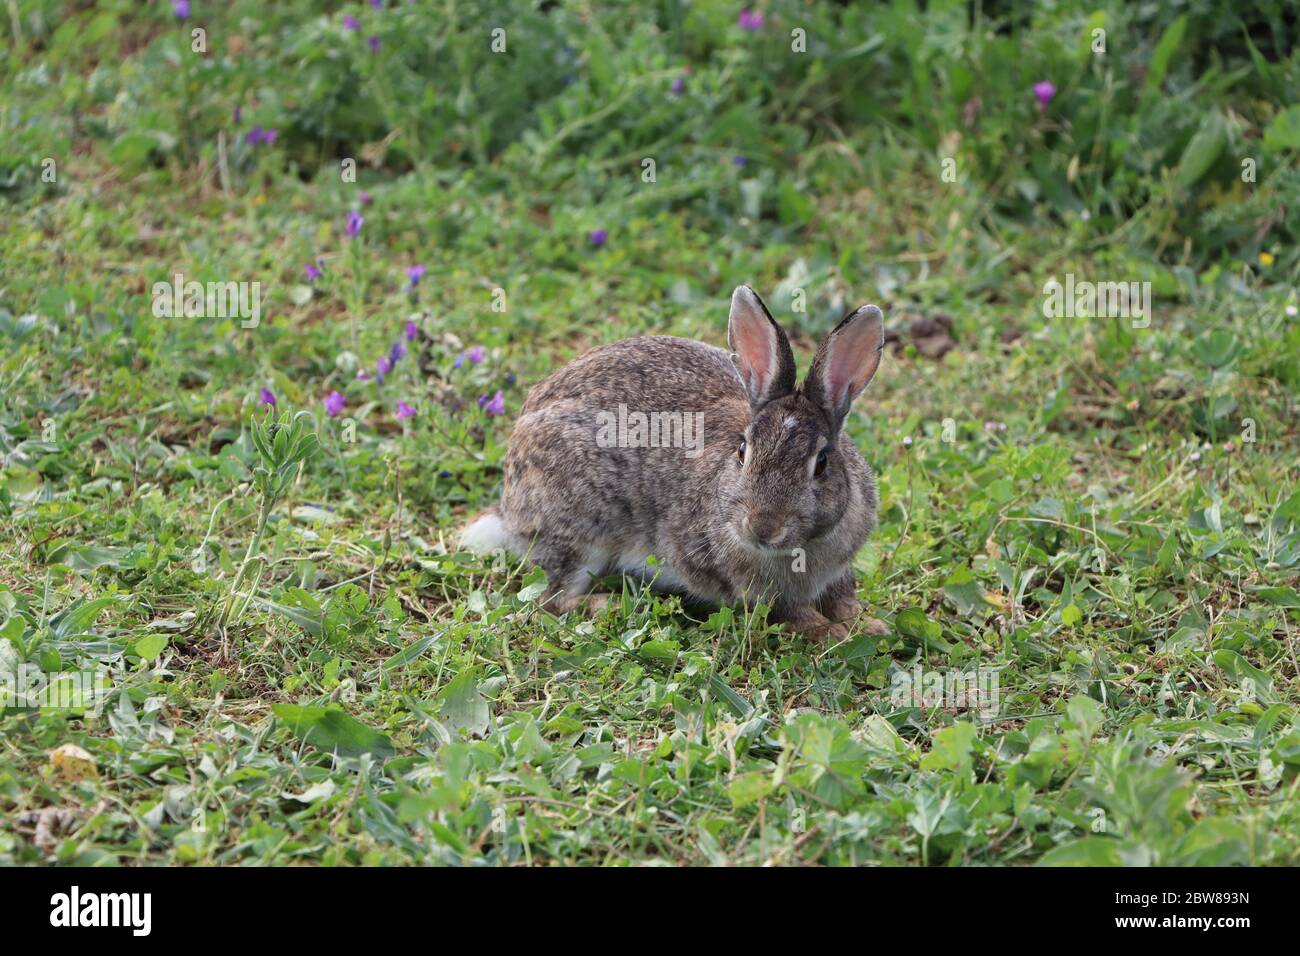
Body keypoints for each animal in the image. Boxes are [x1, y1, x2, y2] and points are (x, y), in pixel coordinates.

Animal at [460, 285, 887, 641]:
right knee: (553, 598)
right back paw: (608, 603)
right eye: (743, 450)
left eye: (822, 463)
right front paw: (831, 632)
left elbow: (841, 598)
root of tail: (509, 510)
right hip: (578, 531)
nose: (762, 528)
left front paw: (867, 623)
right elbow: (788, 611)